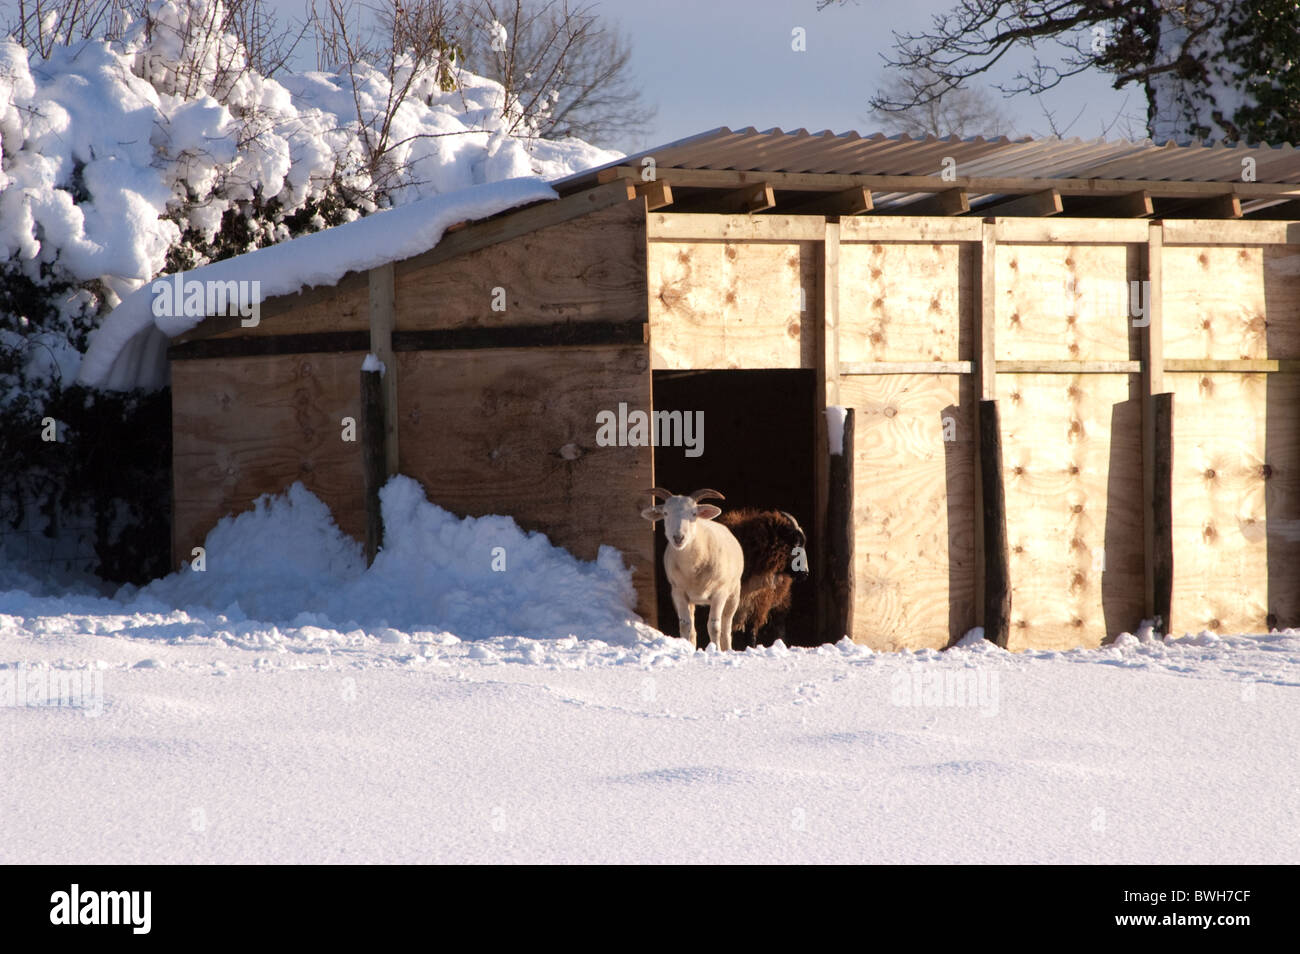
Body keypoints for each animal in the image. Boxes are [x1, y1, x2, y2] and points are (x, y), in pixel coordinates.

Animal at [640, 487, 744, 651]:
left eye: (694, 513)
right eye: (665, 513)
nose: (678, 538)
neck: (694, 567)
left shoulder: (720, 592)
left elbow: (714, 626)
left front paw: (715, 650)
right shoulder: (678, 592)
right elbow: (685, 626)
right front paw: (686, 648)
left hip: (734, 593)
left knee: (726, 627)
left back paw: (727, 649)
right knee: (693, 628)